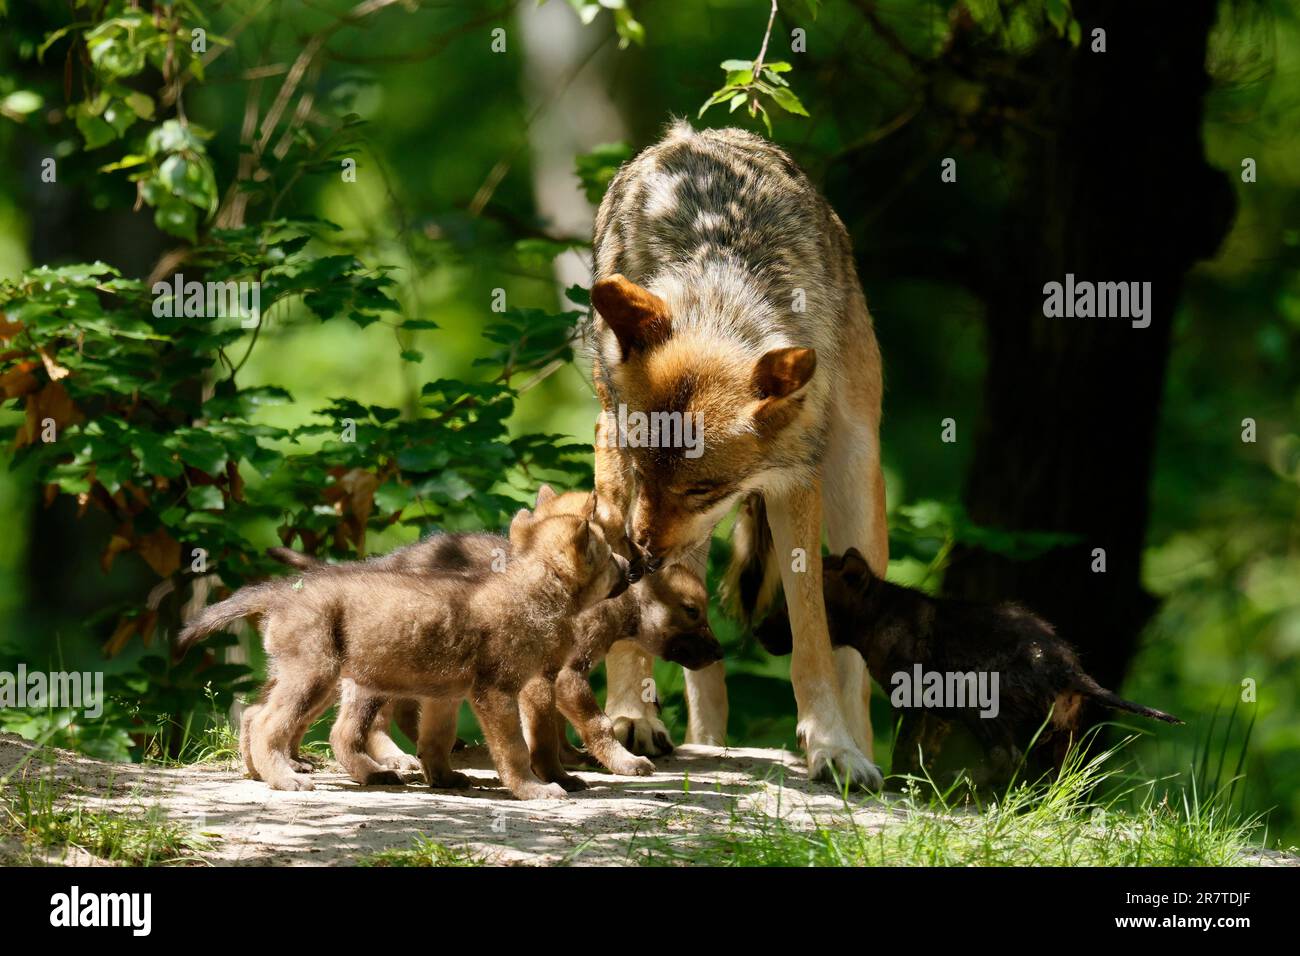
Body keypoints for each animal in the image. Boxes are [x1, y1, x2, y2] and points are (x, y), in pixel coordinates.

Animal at [178, 499, 628, 800]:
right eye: (609, 556)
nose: (634, 565)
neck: (537, 593)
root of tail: (282, 592)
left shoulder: (448, 696)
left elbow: (437, 741)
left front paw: (443, 779)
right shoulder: (499, 692)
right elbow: (517, 749)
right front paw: (535, 789)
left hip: (319, 680)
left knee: (259, 716)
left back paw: (270, 774)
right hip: (318, 677)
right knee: (276, 725)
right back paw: (287, 779)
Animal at [588, 120, 886, 787]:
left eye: (702, 488)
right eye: (643, 472)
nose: (643, 551)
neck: (720, 294)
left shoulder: (795, 485)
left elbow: (811, 641)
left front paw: (831, 748)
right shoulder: (614, 453)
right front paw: (628, 718)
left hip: (855, 479)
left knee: (857, 662)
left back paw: (863, 754)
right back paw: (702, 742)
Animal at [755, 549, 1183, 787]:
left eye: (793, 610)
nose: (758, 630)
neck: (877, 614)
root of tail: (1068, 668)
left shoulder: (910, 700)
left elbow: (905, 746)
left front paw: (898, 780)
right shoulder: (934, 713)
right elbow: (924, 747)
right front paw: (914, 779)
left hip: (978, 699)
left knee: (1007, 757)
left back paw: (958, 784)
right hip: (1062, 733)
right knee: (1059, 778)